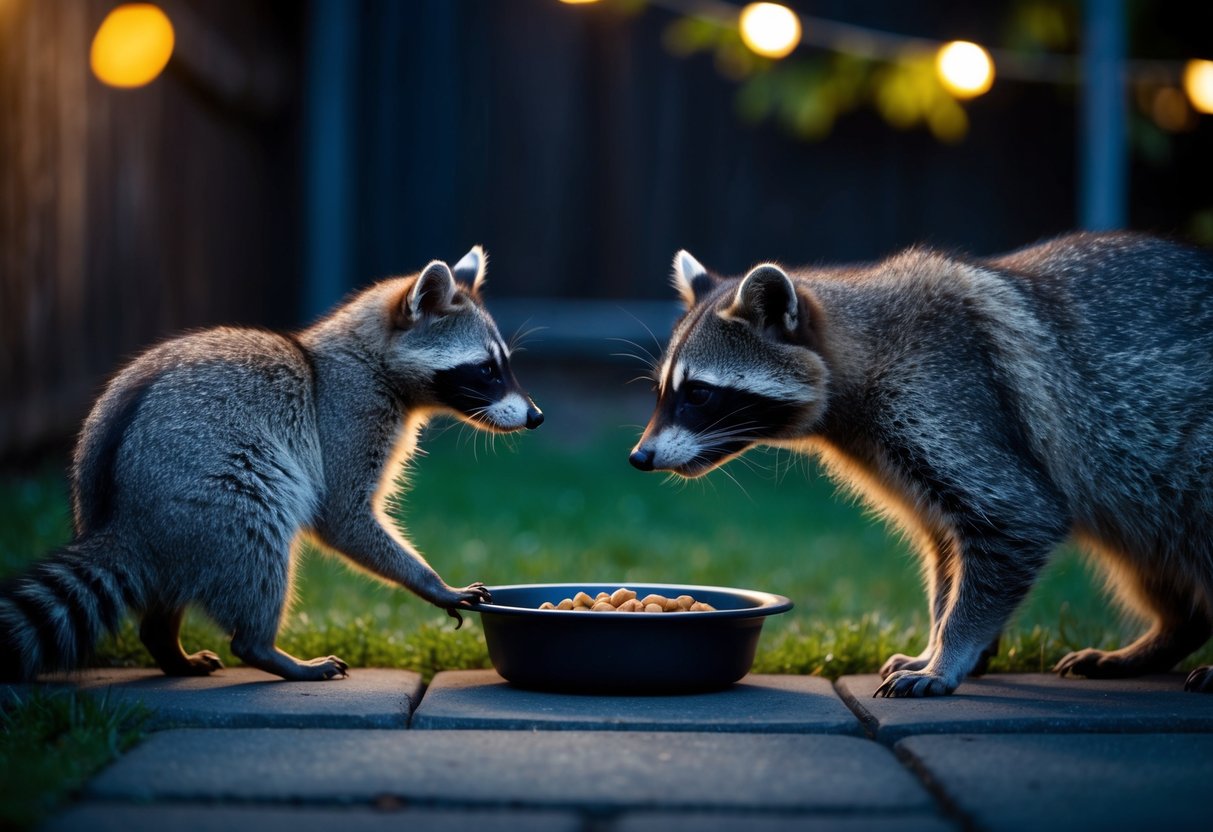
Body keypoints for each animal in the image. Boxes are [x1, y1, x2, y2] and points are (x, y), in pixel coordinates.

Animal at [0, 246, 542, 682]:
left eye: (503, 365)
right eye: (486, 370)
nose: (536, 417)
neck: (365, 355)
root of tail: (121, 520)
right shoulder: (345, 418)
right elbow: (341, 515)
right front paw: (432, 582)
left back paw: (165, 642)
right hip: (218, 494)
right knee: (260, 538)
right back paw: (265, 649)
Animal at [630, 233, 1213, 697]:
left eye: (698, 393)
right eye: (661, 392)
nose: (639, 457)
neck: (863, 347)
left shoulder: (950, 396)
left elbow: (1020, 515)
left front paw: (950, 651)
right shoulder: (904, 464)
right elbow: (943, 553)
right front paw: (935, 642)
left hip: (1177, 463)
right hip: (1135, 497)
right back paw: (1171, 633)